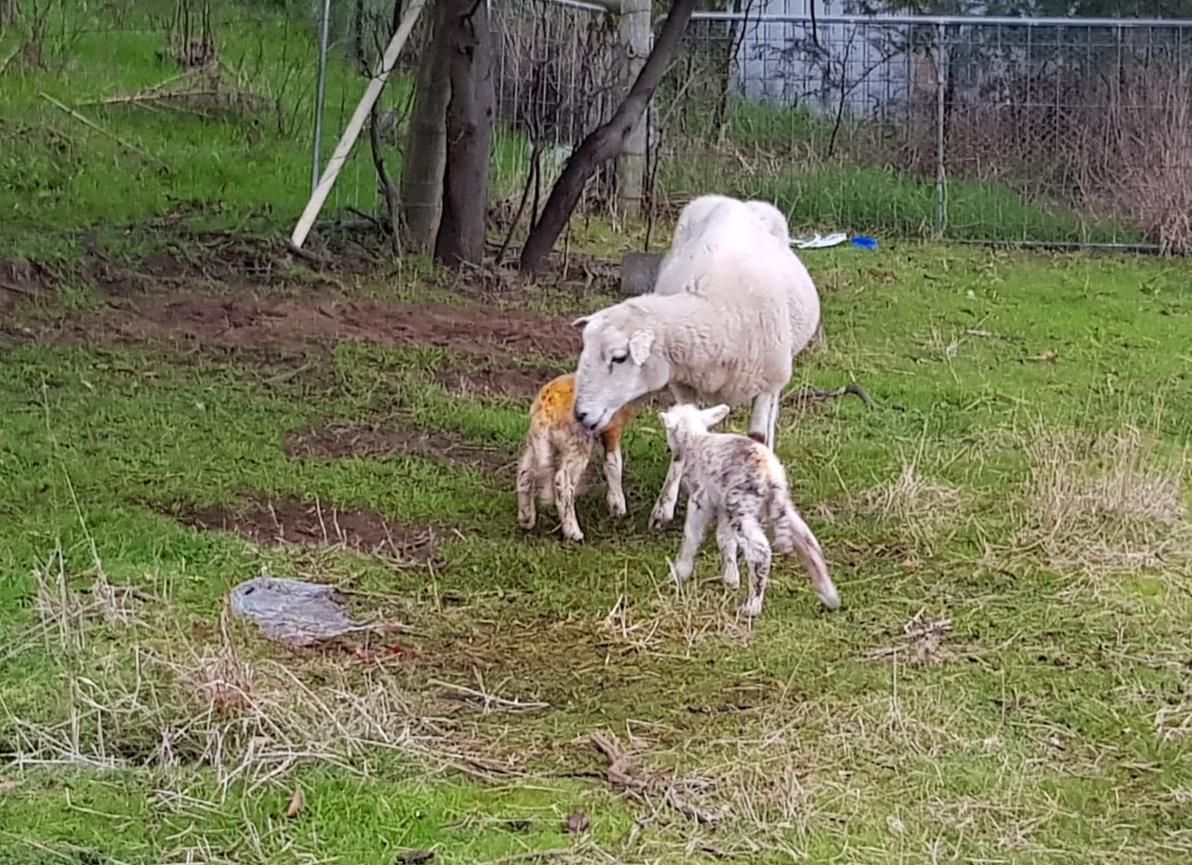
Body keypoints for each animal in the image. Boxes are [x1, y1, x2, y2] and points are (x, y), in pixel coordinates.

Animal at [516, 372, 635, 543]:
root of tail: (546, 407)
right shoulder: (611, 430)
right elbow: (614, 464)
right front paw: (618, 507)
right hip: (577, 444)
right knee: (563, 482)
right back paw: (573, 533)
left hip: (537, 443)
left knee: (525, 473)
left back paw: (526, 519)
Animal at [658, 402, 840, 618]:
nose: (672, 451)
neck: (696, 439)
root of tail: (771, 476)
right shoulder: (722, 502)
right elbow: (724, 538)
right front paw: (731, 578)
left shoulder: (701, 498)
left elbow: (692, 534)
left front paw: (680, 571)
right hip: (774, 507)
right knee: (809, 543)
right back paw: (829, 595)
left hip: (742, 506)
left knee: (760, 552)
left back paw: (752, 607)